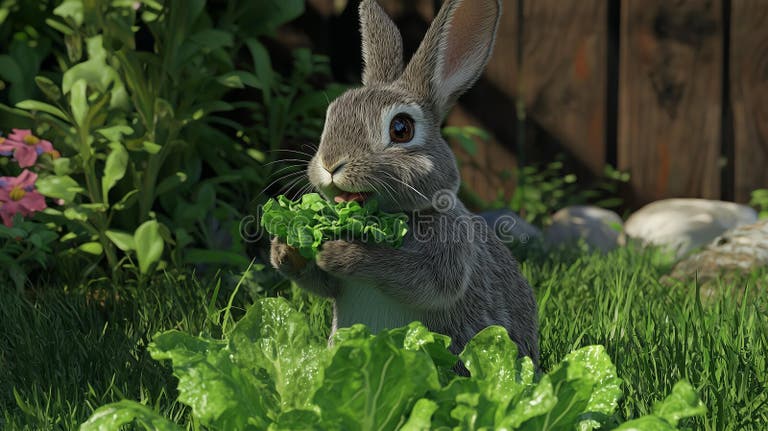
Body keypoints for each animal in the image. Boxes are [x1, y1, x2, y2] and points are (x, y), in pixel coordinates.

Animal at [270, 0, 539, 366]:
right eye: (331, 115)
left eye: (401, 129)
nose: (329, 164)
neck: (396, 217)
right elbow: (319, 283)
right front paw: (285, 249)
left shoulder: (449, 251)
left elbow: (420, 277)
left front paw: (342, 252)